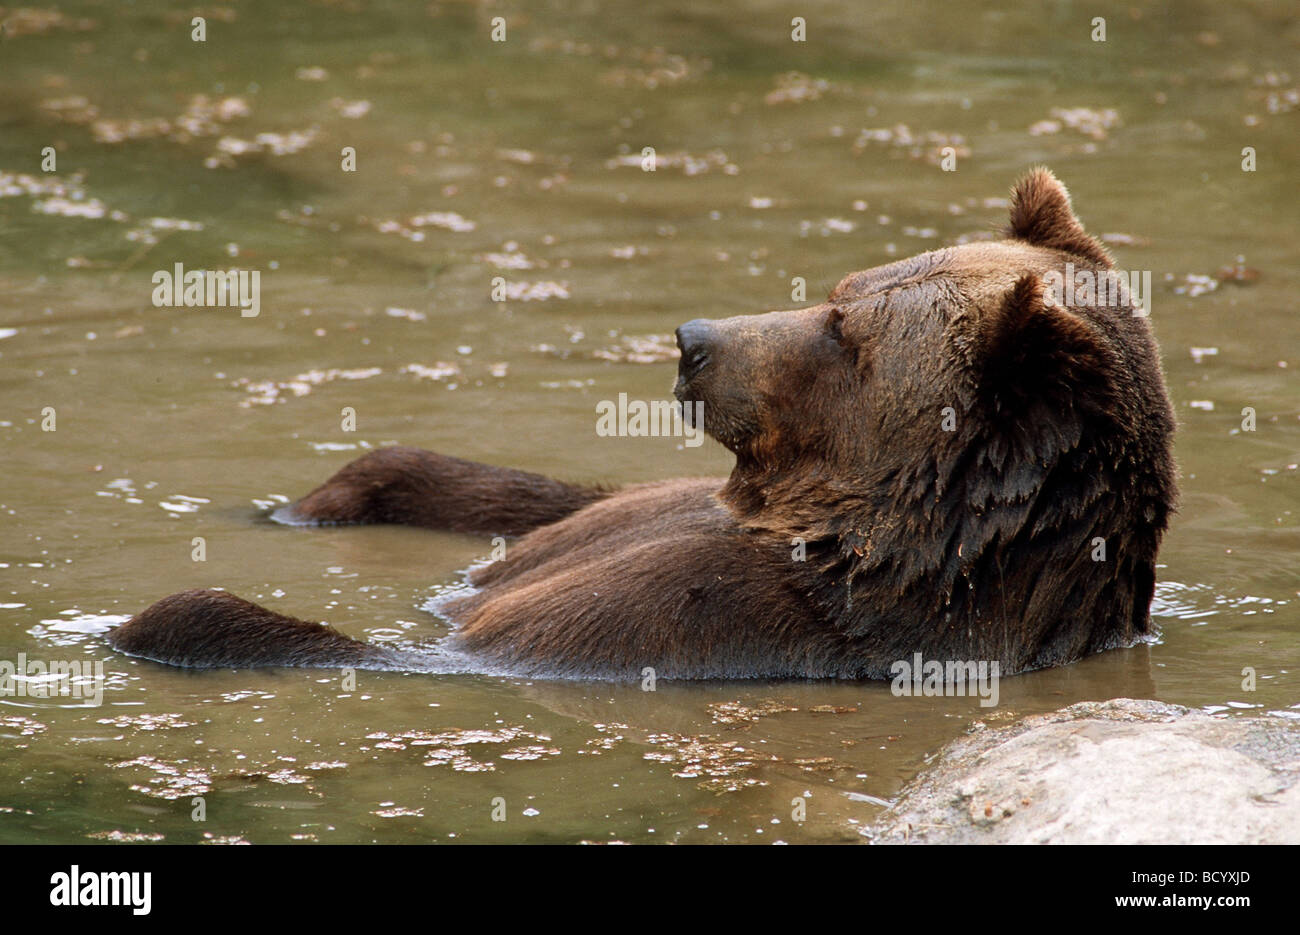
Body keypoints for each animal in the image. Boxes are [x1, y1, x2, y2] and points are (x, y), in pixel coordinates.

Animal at [107, 168, 1178, 680]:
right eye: (840, 289)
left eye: (845, 331)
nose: (693, 339)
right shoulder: (644, 517)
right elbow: (537, 506)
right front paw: (332, 492)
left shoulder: (703, 617)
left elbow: (427, 649)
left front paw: (158, 615)